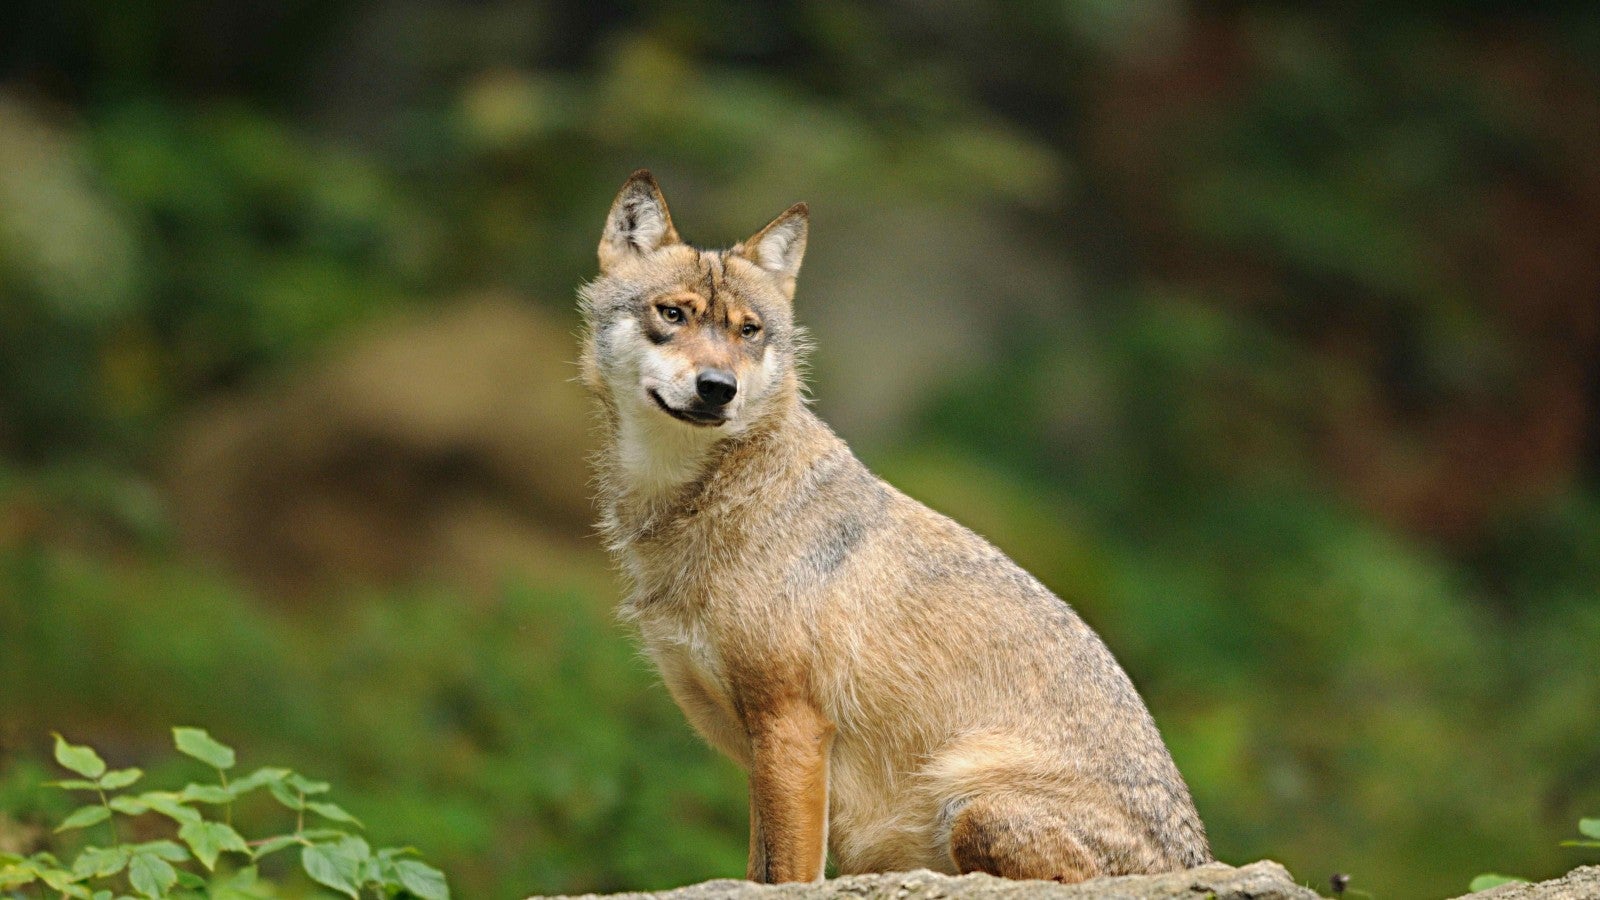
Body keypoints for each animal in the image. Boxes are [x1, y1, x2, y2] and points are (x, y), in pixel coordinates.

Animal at [578, 170, 1211, 884]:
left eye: (749, 331)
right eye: (673, 314)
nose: (718, 387)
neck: (707, 502)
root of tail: (1195, 858)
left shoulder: (793, 729)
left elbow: (792, 874)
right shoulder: (760, 750)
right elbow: (760, 871)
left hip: (968, 805)